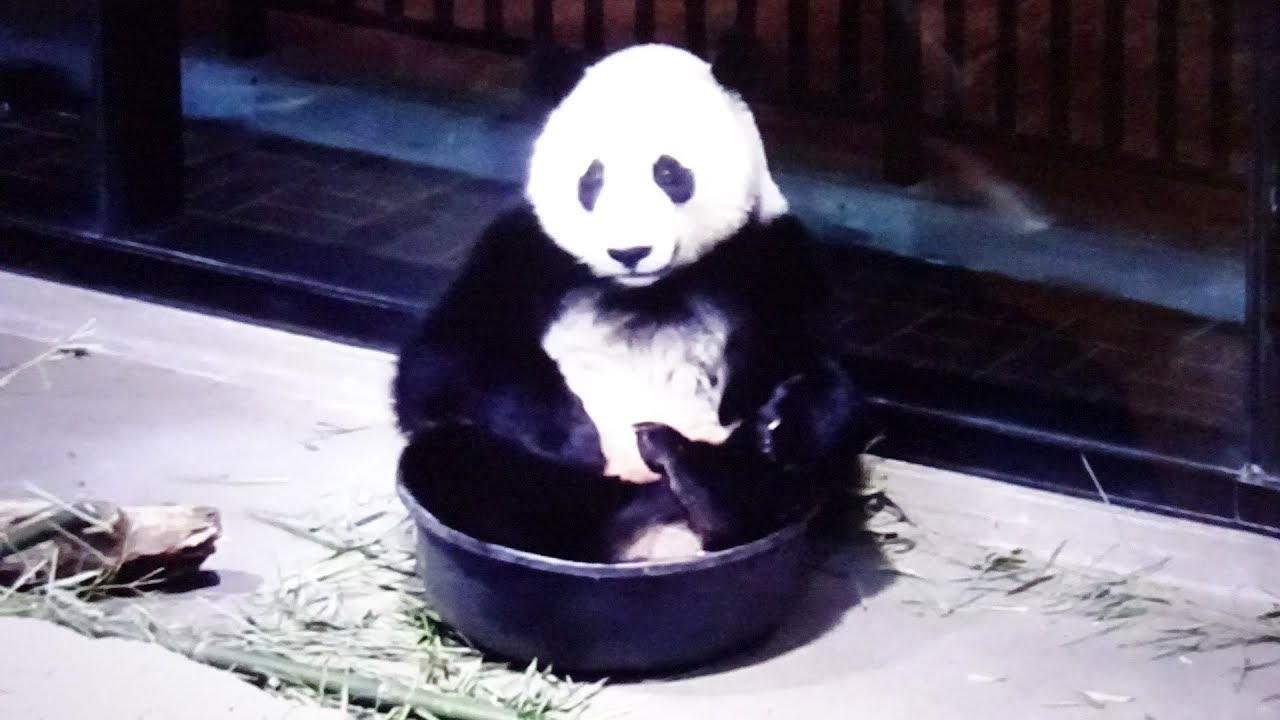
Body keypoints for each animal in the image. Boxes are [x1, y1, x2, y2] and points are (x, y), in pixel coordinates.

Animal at [393, 43, 860, 563]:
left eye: (669, 172)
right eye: (591, 180)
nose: (630, 252)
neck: (650, 290)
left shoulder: (770, 255)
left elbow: (816, 369)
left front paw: (779, 425)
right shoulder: (524, 253)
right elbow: (446, 358)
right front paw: (580, 438)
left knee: (789, 477)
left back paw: (697, 477)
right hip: (529, 475)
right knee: (458, 459)